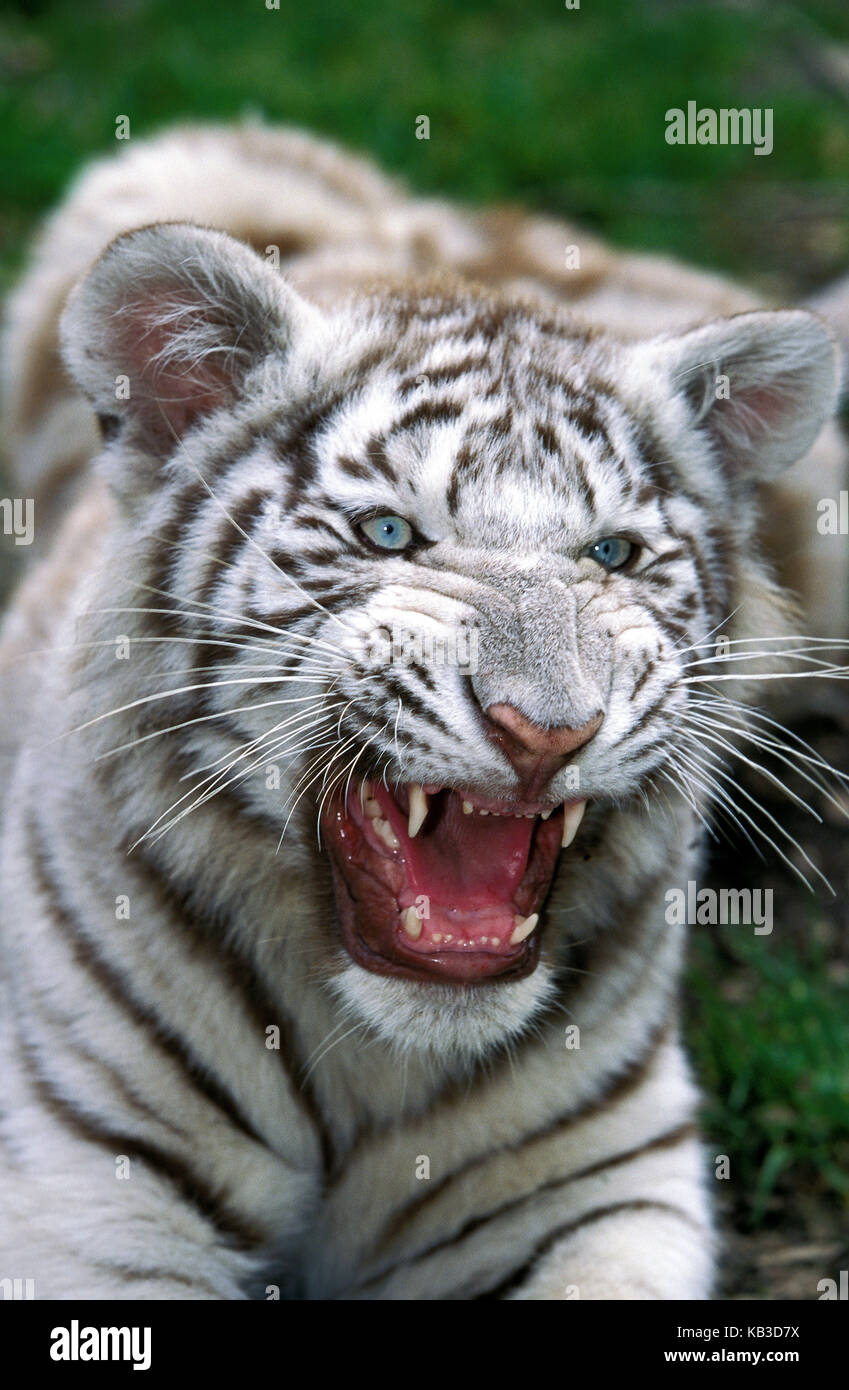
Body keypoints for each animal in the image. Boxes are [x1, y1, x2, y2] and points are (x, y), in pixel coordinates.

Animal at [0, 122, 846, 1301]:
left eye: (613, 554)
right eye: (389, 534)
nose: (546, 732)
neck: (369, 1053)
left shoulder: (599, 1179)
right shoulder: (92, 1196)